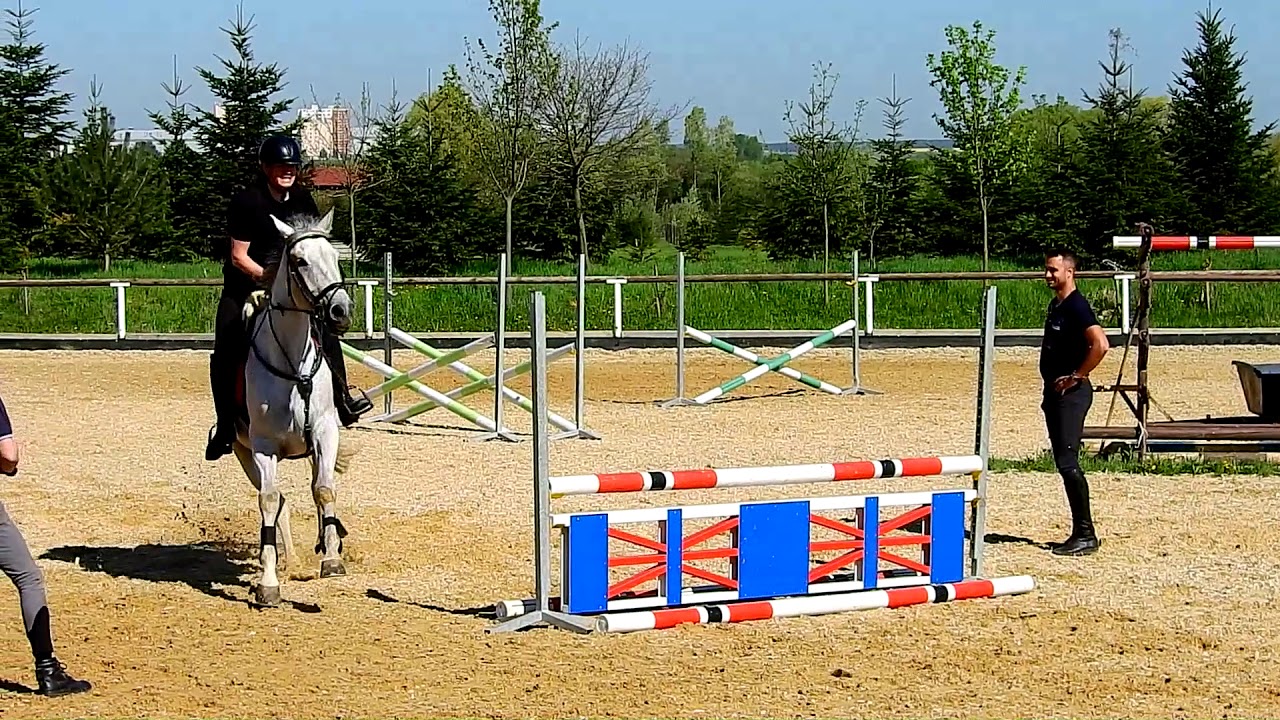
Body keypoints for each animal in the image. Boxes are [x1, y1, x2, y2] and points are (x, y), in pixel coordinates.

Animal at [231, 208, 355, 607]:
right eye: (300, 261)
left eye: (334, 258)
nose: (340, 311)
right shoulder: (263, 448)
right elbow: (269, 502)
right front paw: (268, 582)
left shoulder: (325, 433)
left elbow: (325, 490)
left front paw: (332, 559)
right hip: (243, 453)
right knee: (278, 501)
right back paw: (286, 561)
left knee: (317, 487)